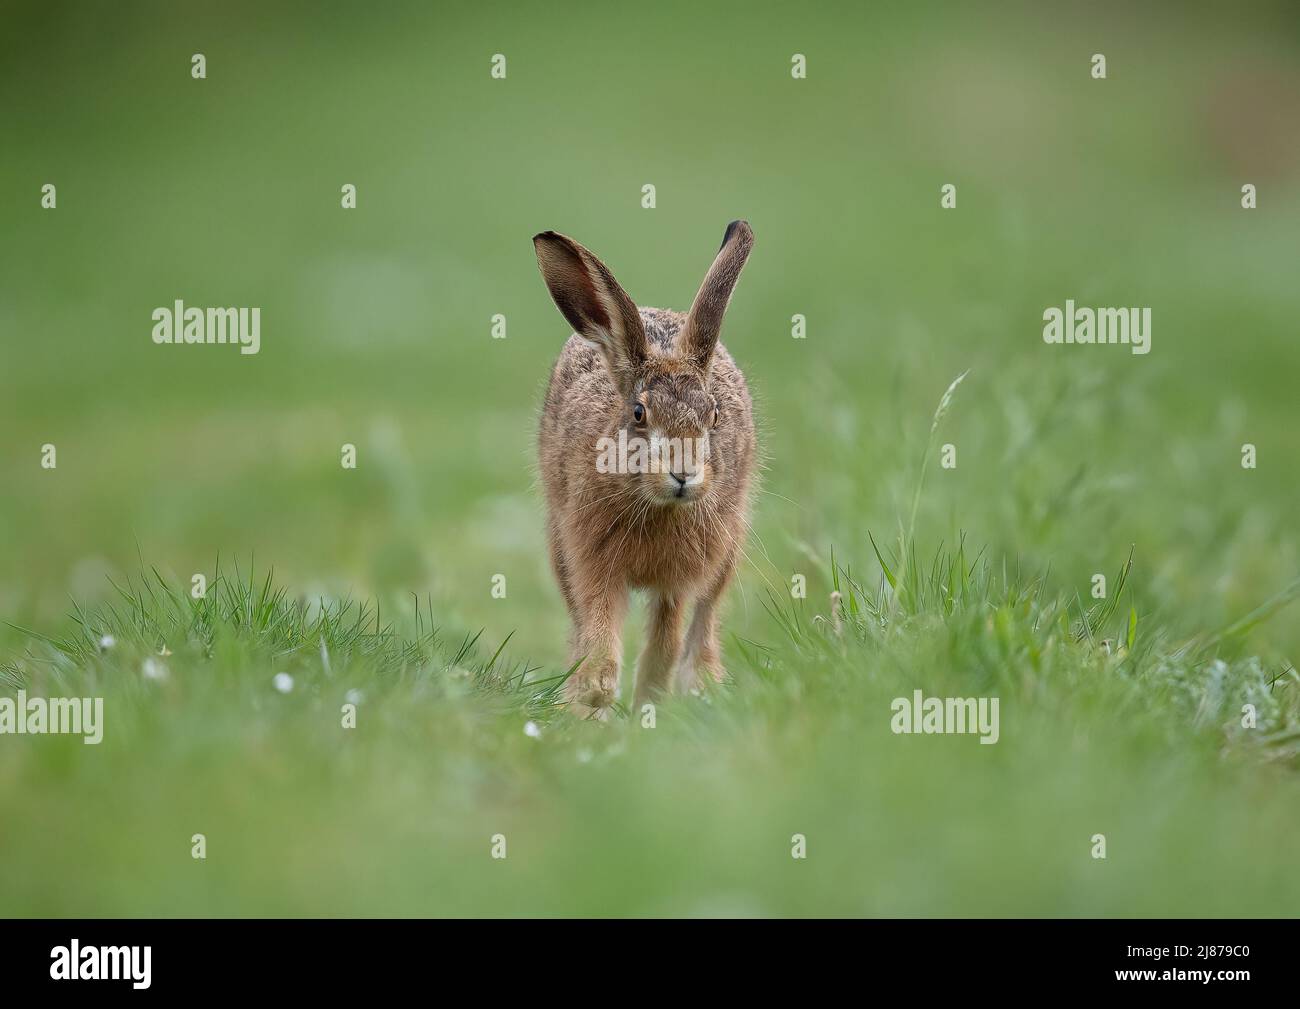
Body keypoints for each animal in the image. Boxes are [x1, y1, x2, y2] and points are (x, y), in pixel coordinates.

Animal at [534, 221, 757, 719]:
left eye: (713, 415)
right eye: (639, 413)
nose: (683, 474)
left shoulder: (680, 578)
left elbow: (662, 648)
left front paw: (647, 710)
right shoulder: (592, 561)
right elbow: (599, 646)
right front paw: (590, 707)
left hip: (728, 545)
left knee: (703, 622)